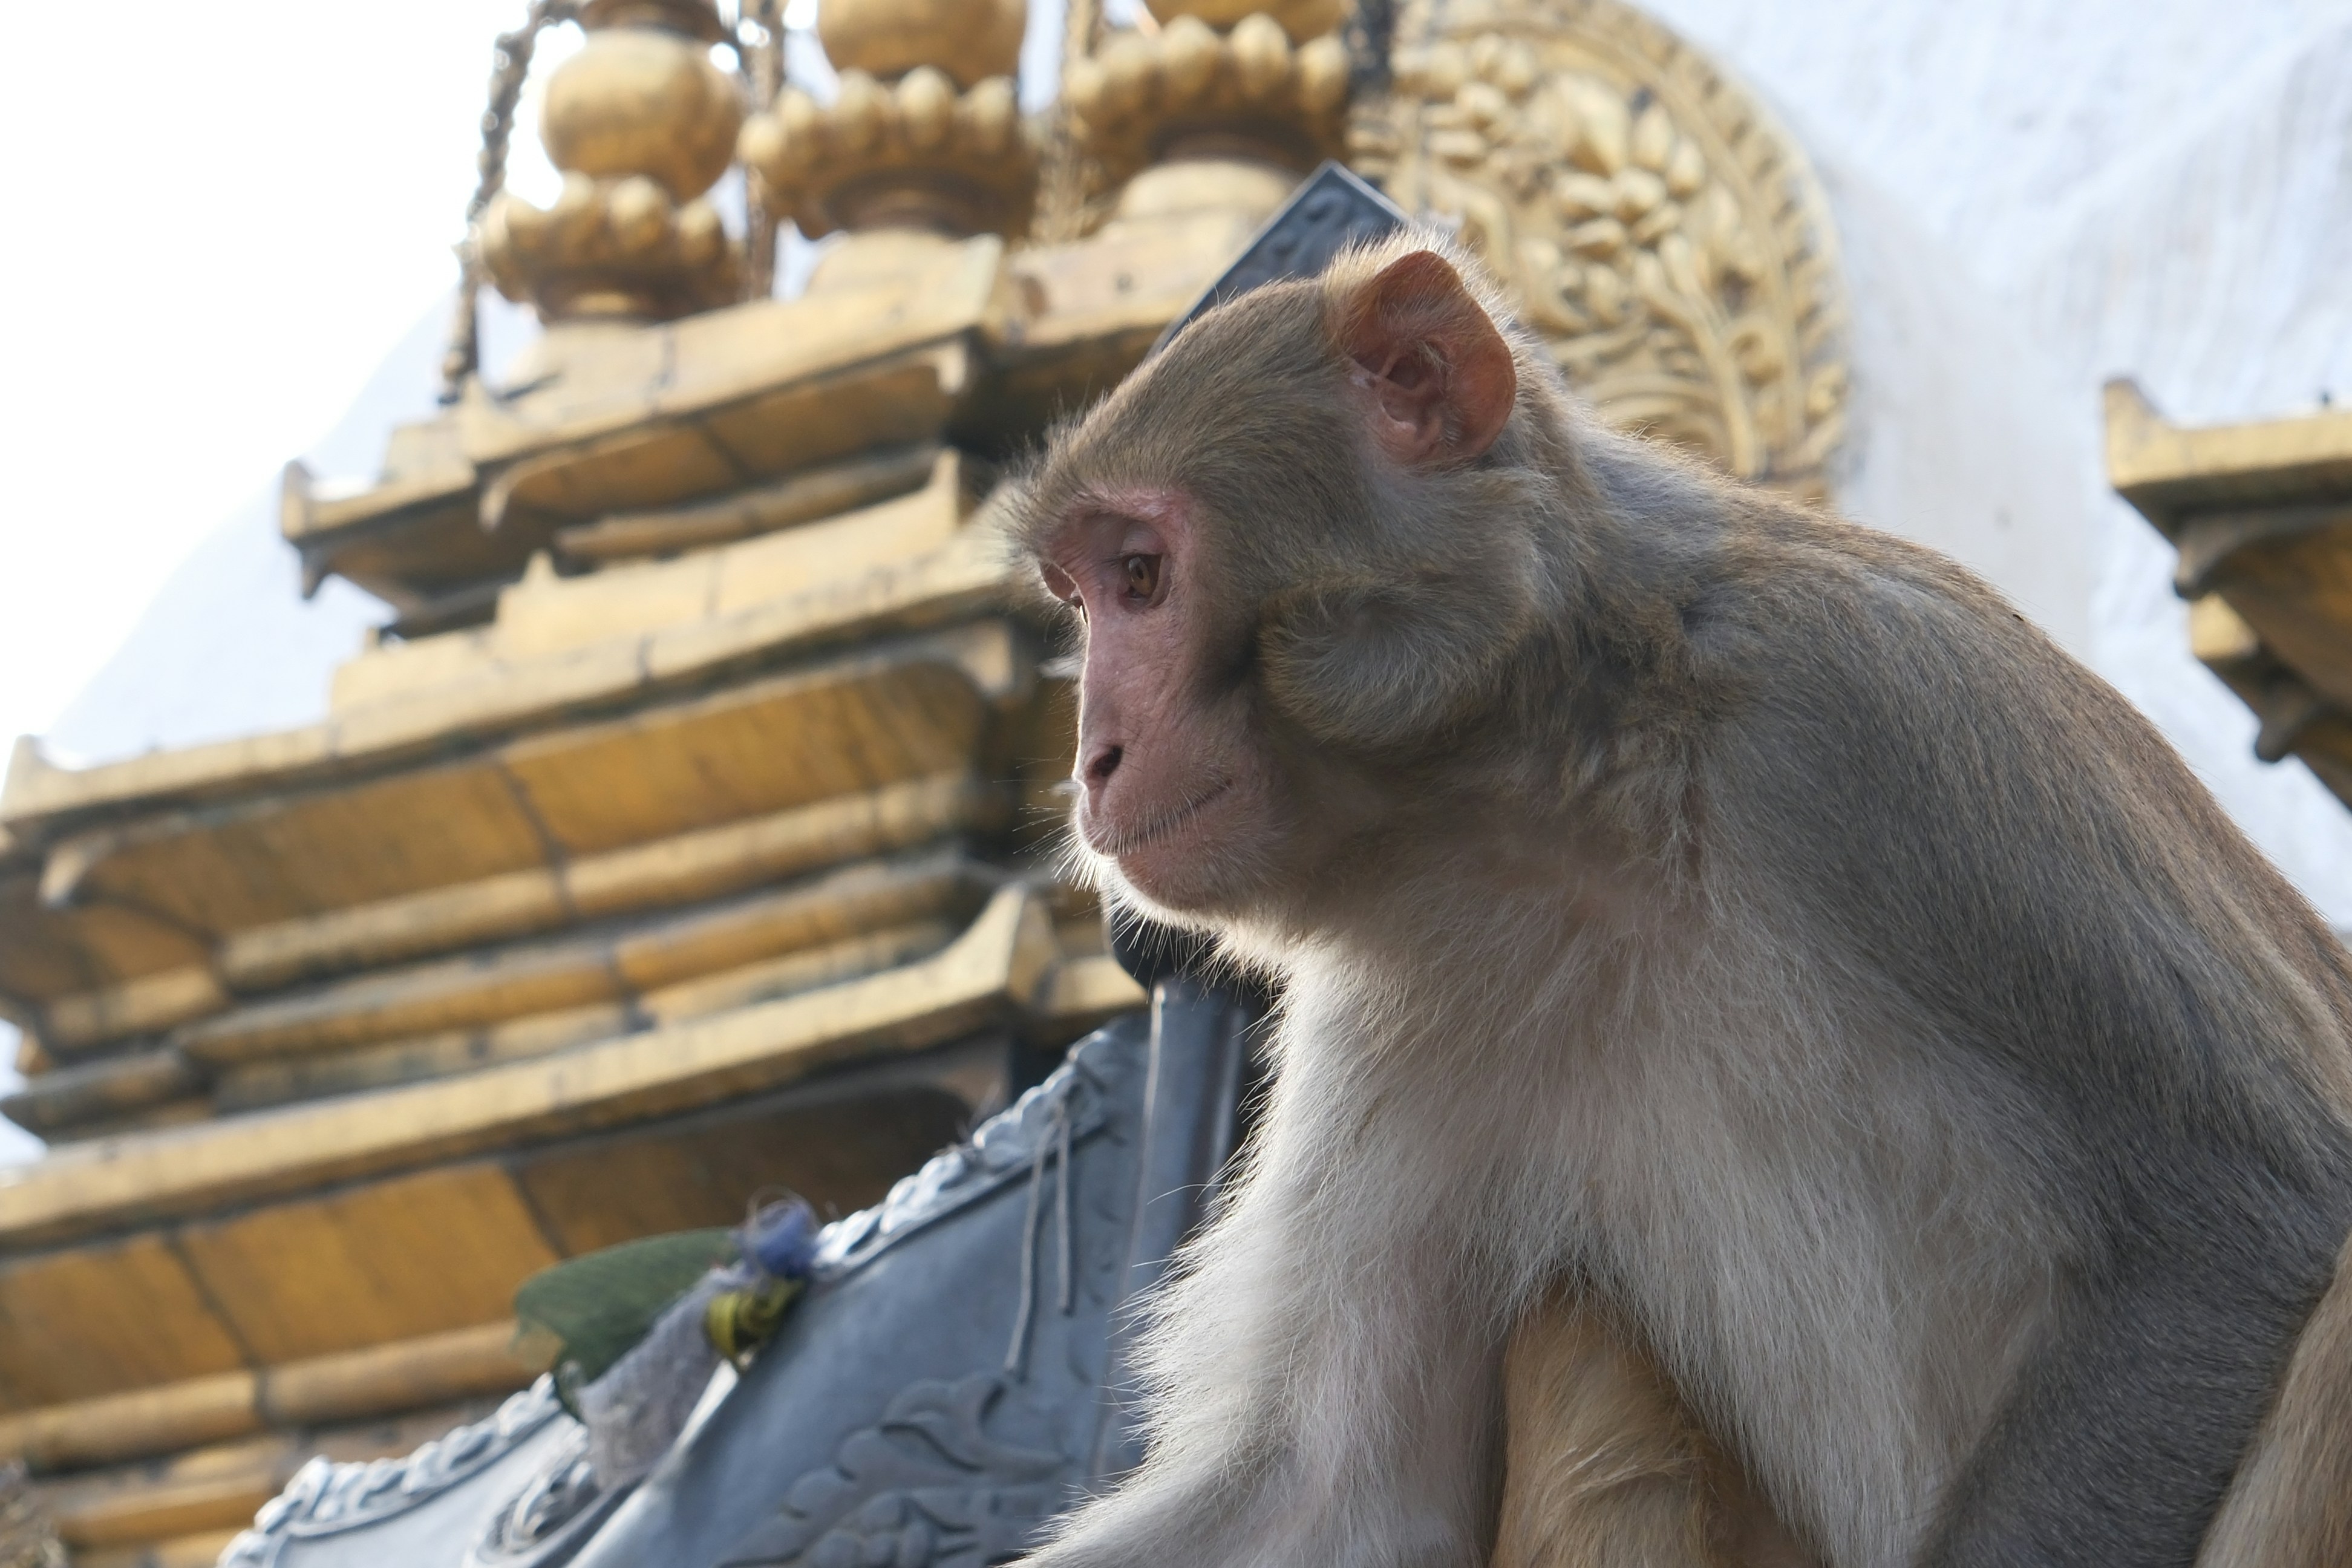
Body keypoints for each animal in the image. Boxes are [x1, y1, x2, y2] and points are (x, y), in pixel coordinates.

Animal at [1004, 230, 2352, 1568]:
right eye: (1080, 598)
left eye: (1141, 576)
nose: (1091, 761)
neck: (1568, 767)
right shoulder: (1403, 998)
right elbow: (1328, 1492)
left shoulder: (1883, 709)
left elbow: (2233, 1221)